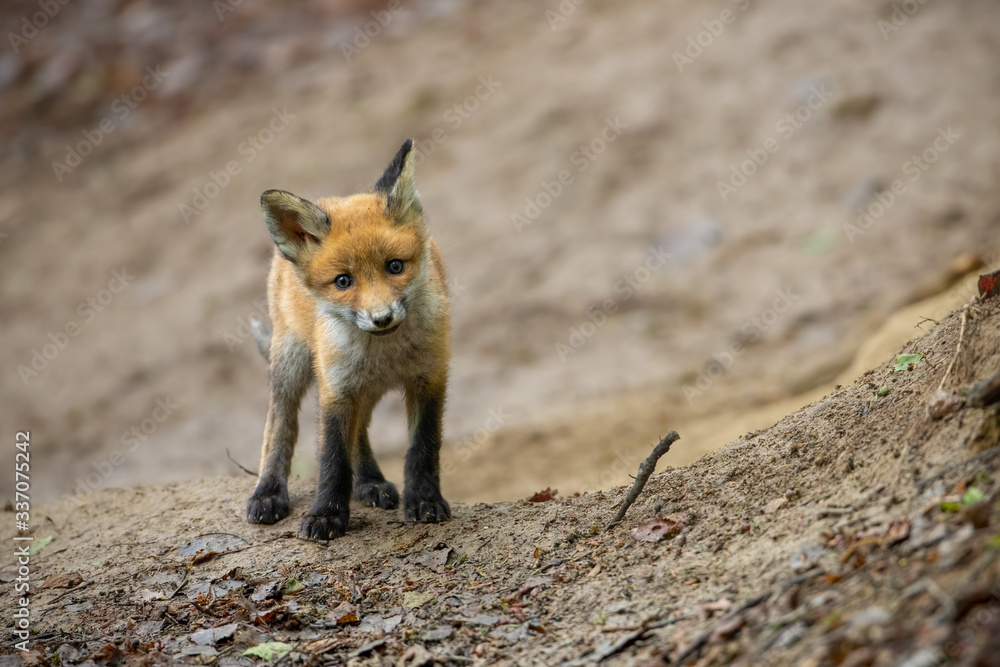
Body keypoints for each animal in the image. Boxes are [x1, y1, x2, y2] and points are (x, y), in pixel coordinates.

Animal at [245, 139, 451, 541]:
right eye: (343, 281)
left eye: (395, 266)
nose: (382, 318)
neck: (387, 354)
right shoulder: (337, 389)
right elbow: (332, 458)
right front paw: (326, 515)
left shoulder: (430, 377)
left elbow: (423, 447)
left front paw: (424, 501)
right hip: (293, 364)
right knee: (279, 427)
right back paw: (268, 491)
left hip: (364, 389)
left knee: (361, 434)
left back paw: (369, 482)